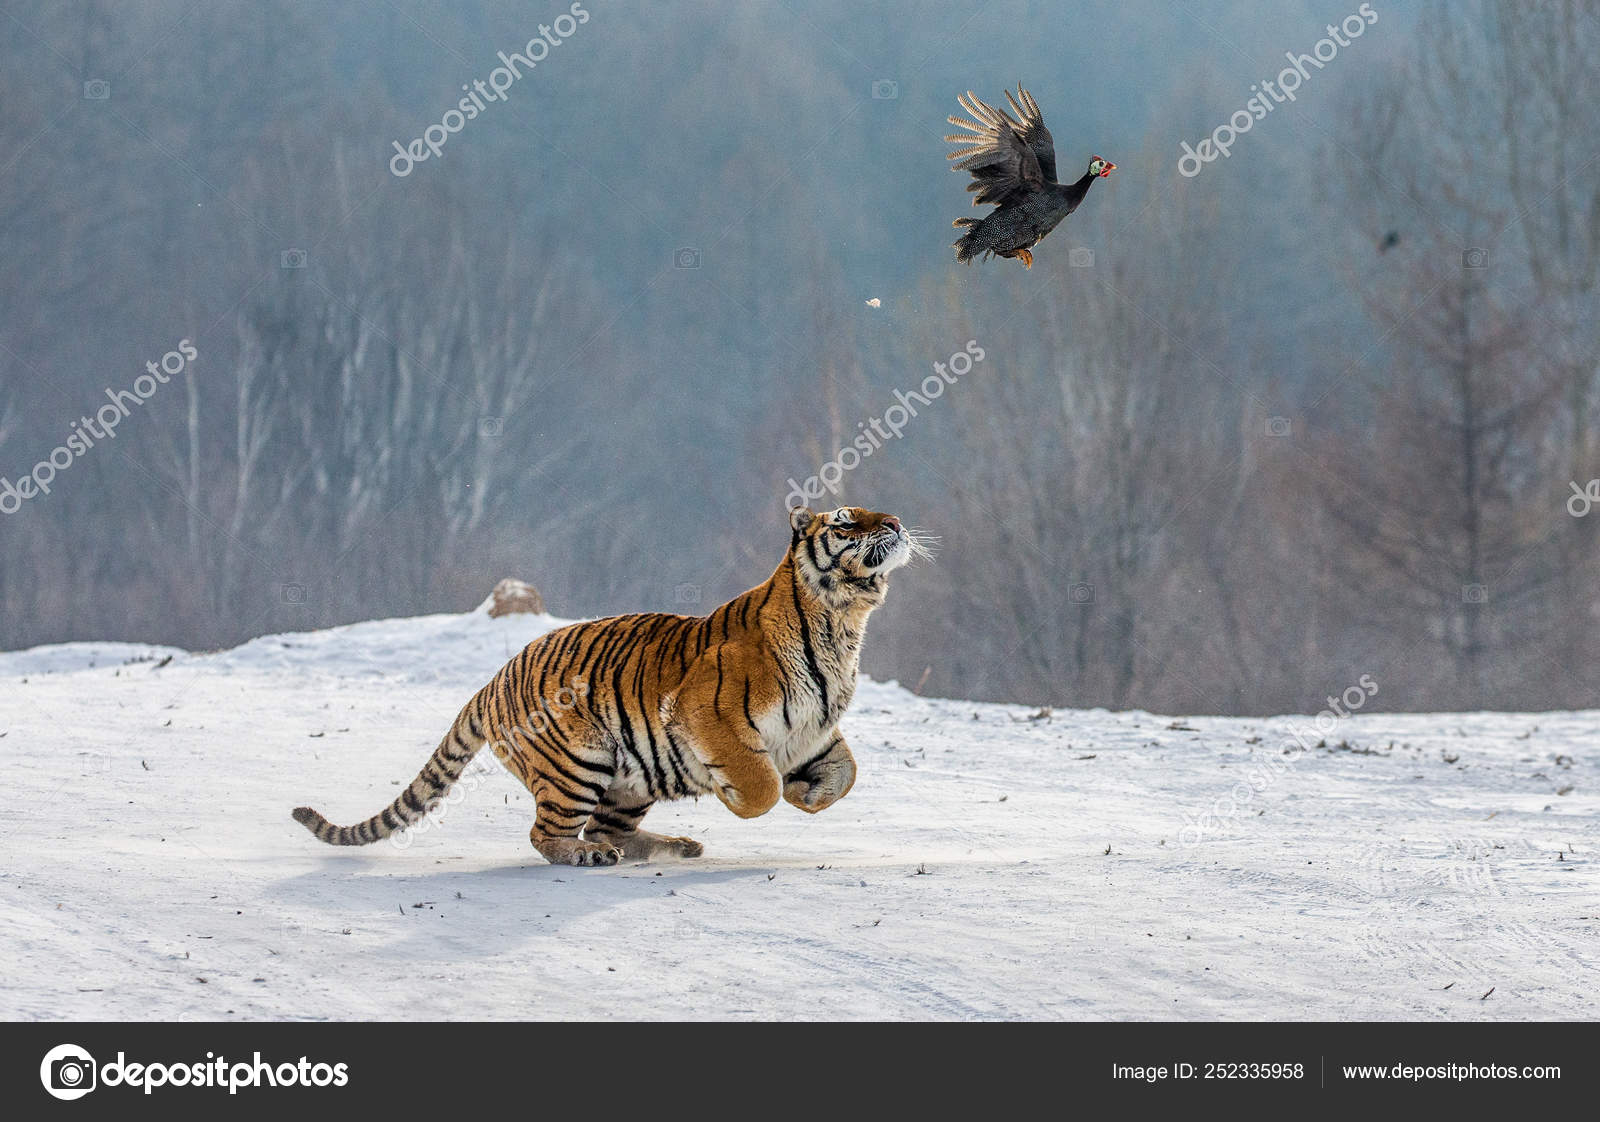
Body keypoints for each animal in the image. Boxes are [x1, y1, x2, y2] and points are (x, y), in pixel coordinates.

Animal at [292, 504, 919, 866]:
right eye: (846, 520)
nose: (894, 524)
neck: (844, 619)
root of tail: (492, 681)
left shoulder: (812, 728)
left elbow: (846, 773)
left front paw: (805, 794)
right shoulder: (705, 714)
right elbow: (757, 784)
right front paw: (744, 794)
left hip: (632, 780)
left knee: (603, 827)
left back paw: (669, 846)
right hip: (579, 763)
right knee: (545, 834)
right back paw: (591, 856)